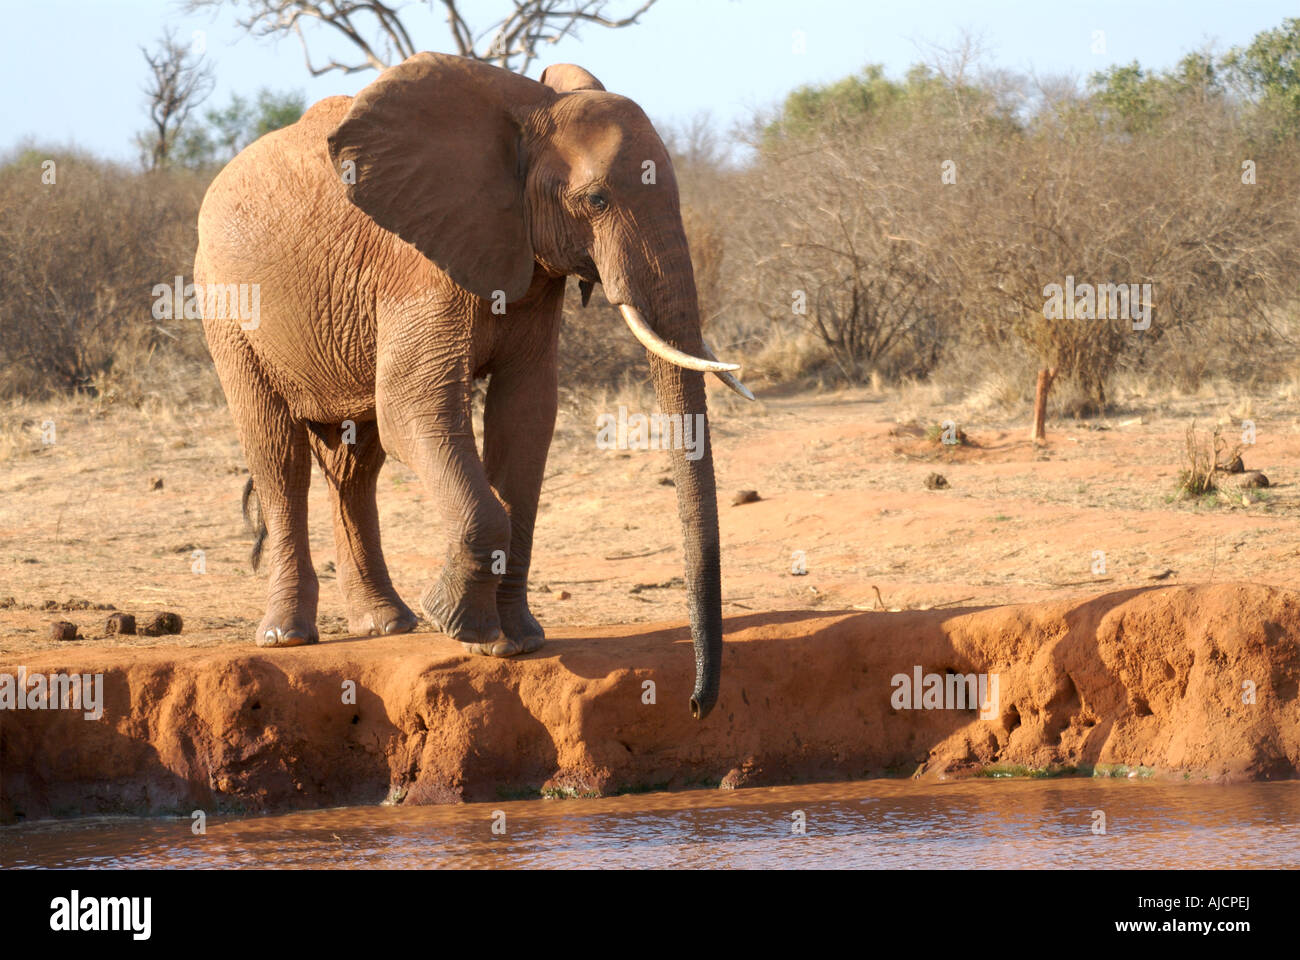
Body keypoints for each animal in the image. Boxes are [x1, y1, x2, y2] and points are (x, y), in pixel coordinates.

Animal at [189, 50, 754, 712]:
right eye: (595, 201)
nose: (695, 703)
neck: (530, 111)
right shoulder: (422, 263)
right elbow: (416, 411)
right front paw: (462, 627)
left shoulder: (526, 258)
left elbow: (526, 415)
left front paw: (518, 642)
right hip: (224, 304)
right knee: (278, 453)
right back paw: (288, 637)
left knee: (357, 464)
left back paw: (387, 624)